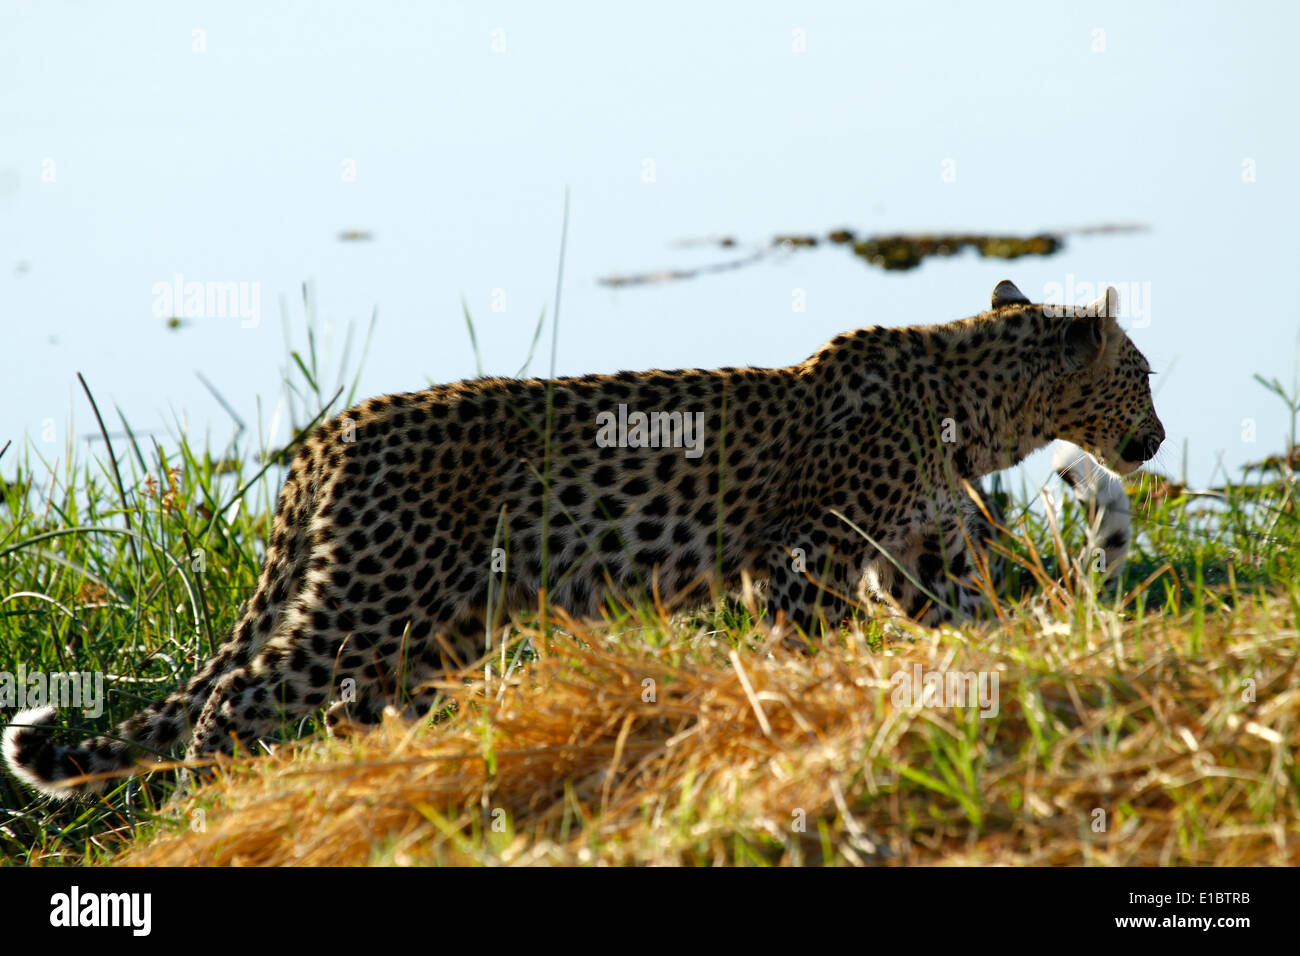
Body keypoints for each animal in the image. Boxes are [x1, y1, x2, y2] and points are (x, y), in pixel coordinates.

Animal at [3, 279, 1163, 799]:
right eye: (1144, 374)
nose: (1154, 436)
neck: (978, 404)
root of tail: (327, 435)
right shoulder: (805, 555)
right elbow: (807, 643)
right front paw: (802, 712)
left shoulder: (920, 552)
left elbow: (978, 615)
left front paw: (1035, 665)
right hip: (373, 596)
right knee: (240, 695)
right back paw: (211, 805)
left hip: (432, 627)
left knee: (329, 700)